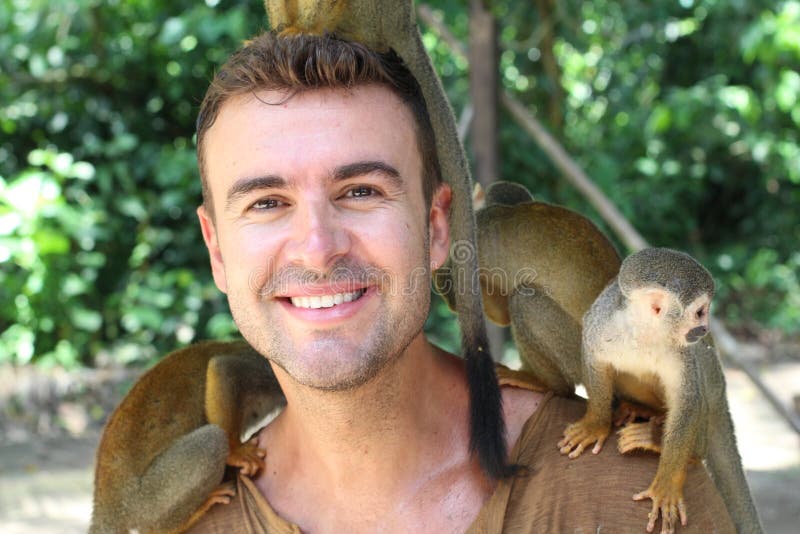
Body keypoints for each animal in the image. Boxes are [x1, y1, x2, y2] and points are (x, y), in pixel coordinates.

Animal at [90, 340, 285, 534]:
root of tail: (105, 506)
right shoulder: (265, 367)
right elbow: (225, 368)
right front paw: (235, 452)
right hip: (145, 501)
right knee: (213, 439)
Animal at [558, 248, 762, 534]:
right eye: (700, 312)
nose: (705, 329)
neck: (644, 332)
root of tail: (722, 390)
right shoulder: (600, 323)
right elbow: (593, 358)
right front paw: (595, 425)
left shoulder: (681, 350)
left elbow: (687, 398)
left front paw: (666, 485)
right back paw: (641, 409)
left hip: (711, 383)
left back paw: (669, 444)